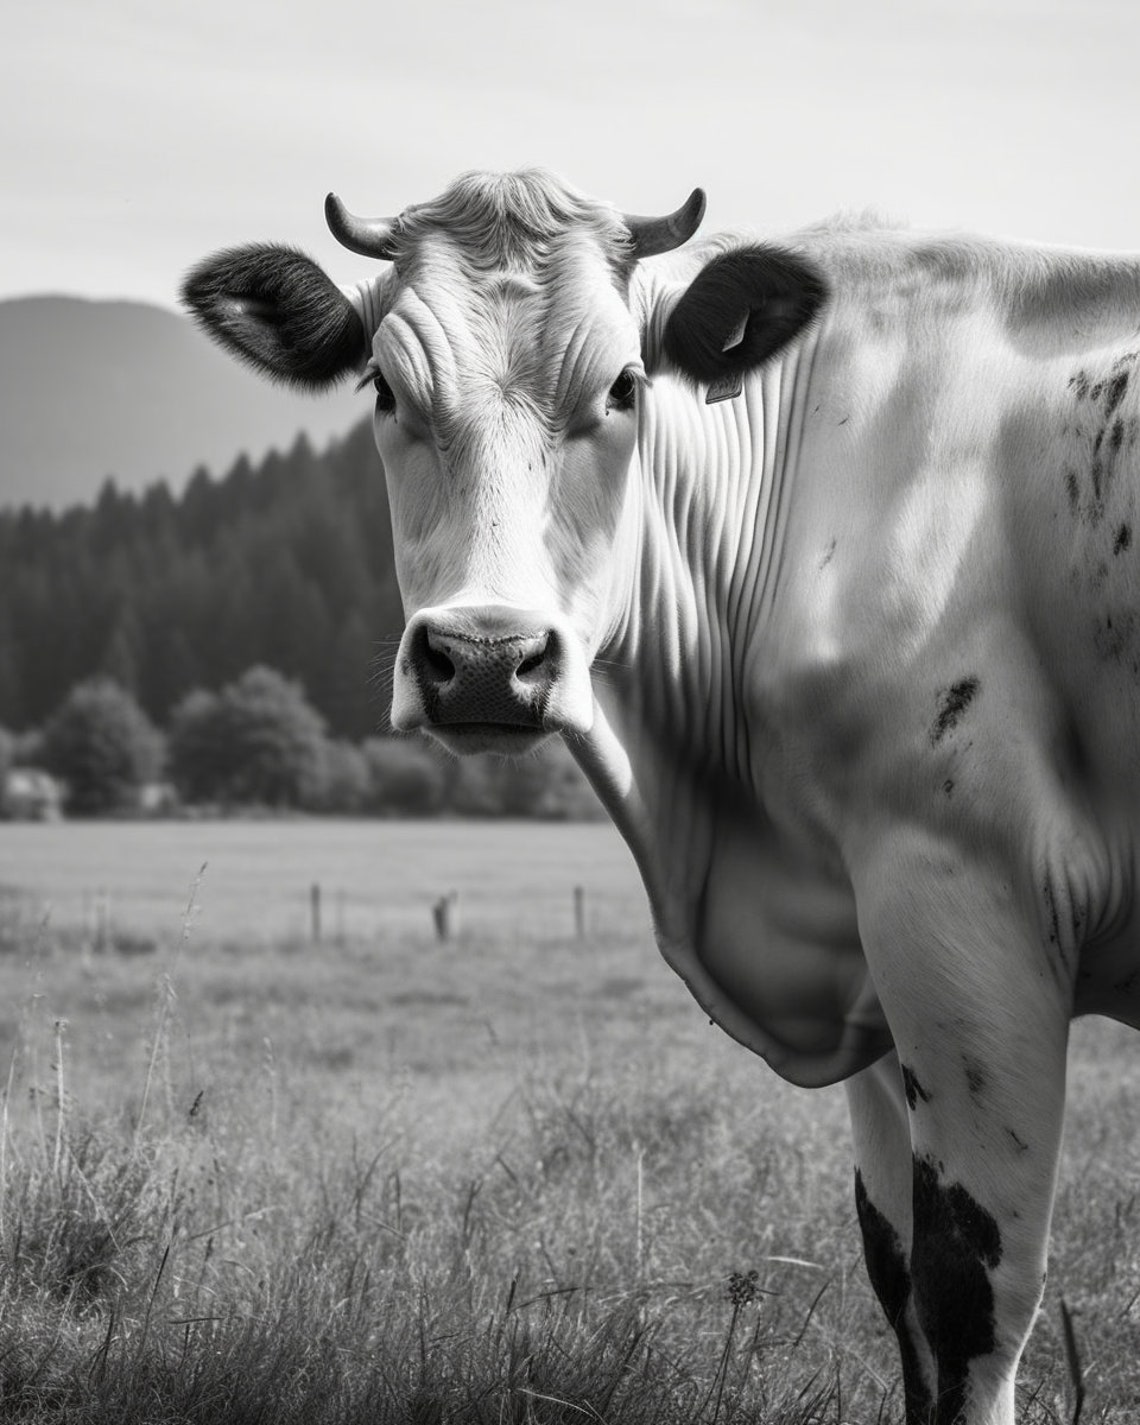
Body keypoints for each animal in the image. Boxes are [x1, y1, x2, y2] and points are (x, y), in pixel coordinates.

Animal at [182, 168, 1140, 1424]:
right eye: (384, 386)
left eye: (626, 386)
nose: (484, 657)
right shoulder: (876, 942)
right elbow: (896, 1278)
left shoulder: (969, 907)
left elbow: (967, 1295)